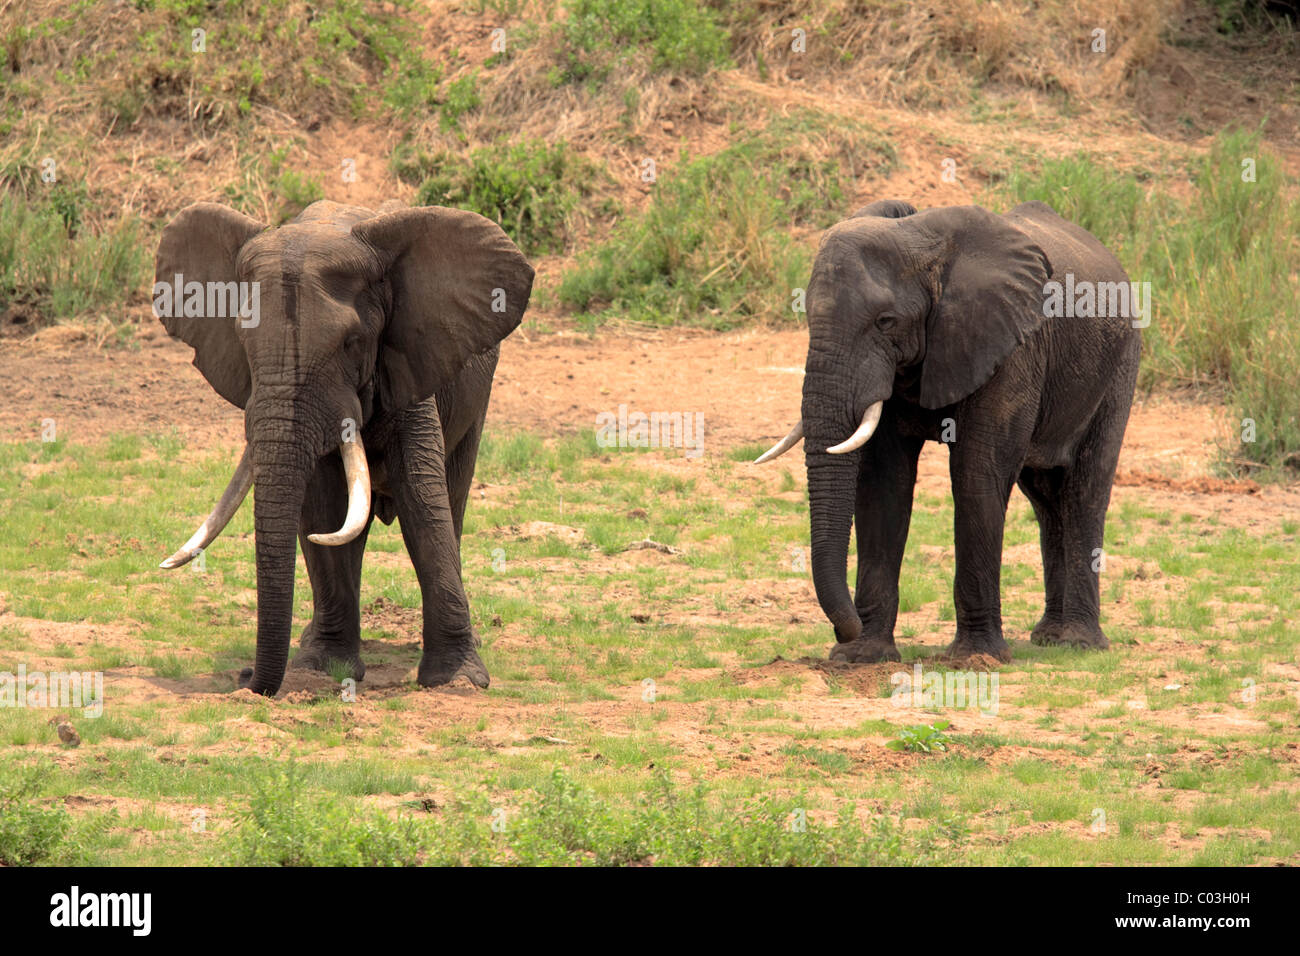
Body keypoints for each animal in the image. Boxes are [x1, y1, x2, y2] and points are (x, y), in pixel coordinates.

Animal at [153, 199, 533, 696]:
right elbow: (324, 507)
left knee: (453, 495)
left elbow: (422, 499)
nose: (248, 680)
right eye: (242, 340)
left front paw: (458, 681)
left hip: (477, 396)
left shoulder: (407, 362)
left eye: (352, 343)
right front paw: (323, 668)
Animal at [756, 199, 1140, 664]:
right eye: (809, 317)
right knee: (1047, 501)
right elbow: (883, 481)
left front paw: (976, 660)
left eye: (885, 321)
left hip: (1121, 365)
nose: (843, 631)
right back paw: (1048, 637)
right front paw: (863, 657)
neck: (924, 245)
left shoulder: (1011, 348)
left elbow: (976, 472)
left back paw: (1079, 643)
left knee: (1084, 490)